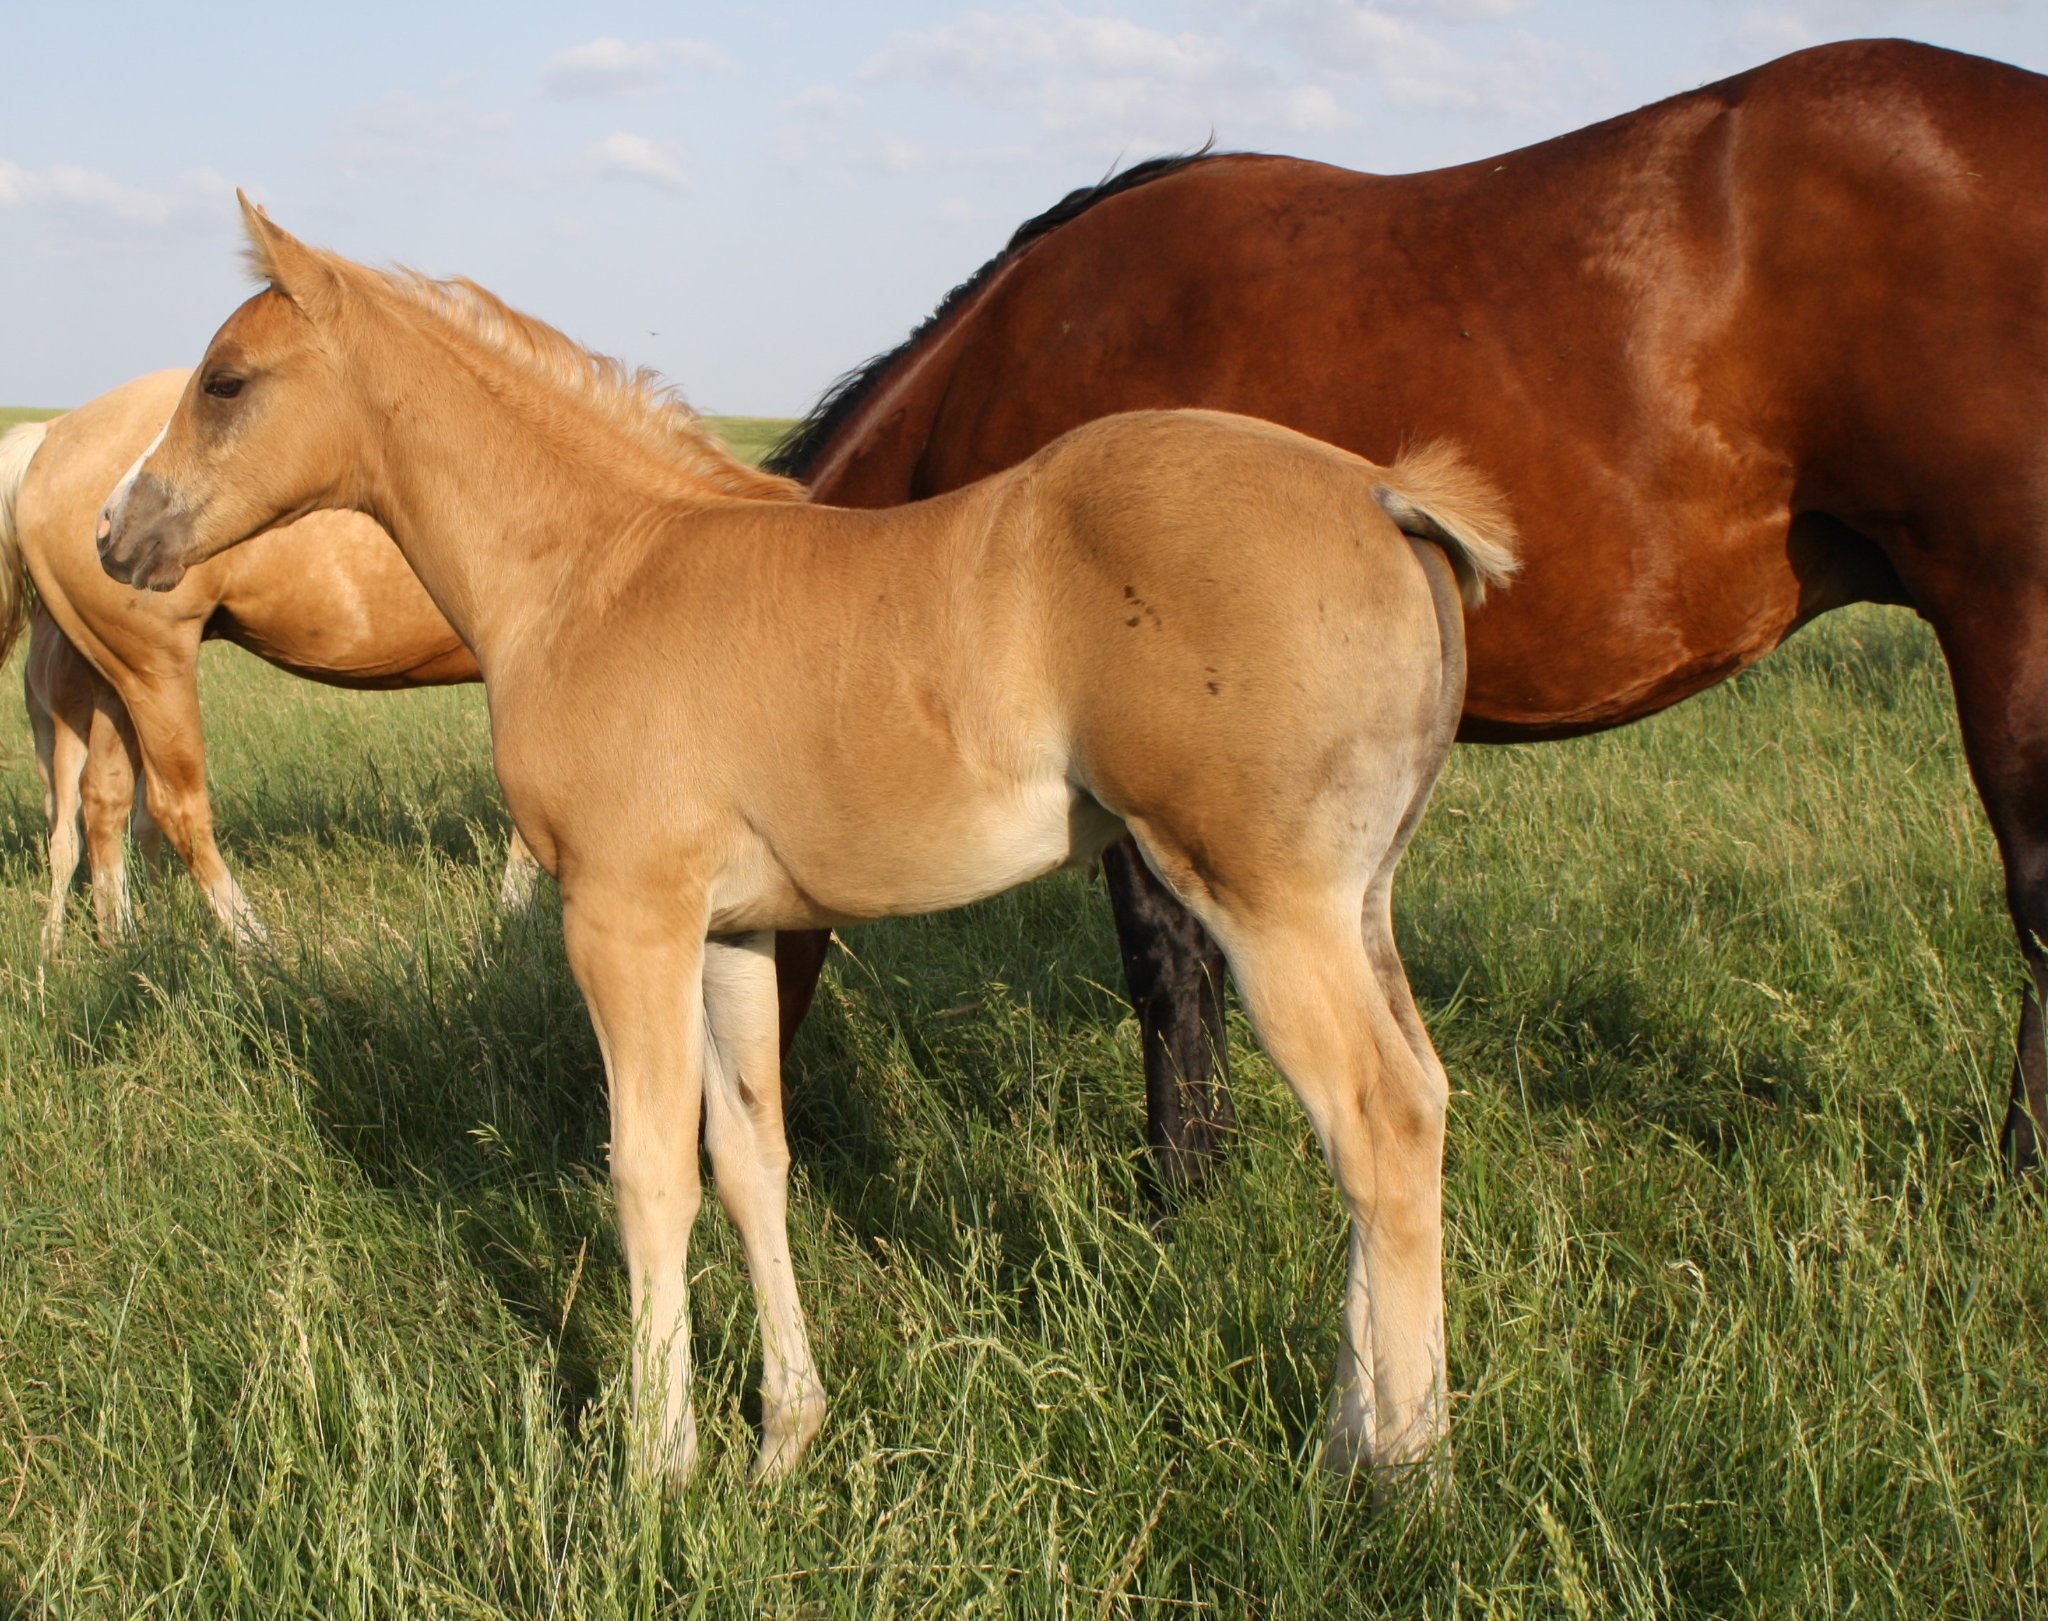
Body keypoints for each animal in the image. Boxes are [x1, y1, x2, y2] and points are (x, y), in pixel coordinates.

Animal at [0, 373, 538, 948]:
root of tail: (51, 435)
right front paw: (516, 915)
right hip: (153, 669)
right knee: (176, 808)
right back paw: (256, 946)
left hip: (113, 680)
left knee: (105, 802)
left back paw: (126, 941)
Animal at [98, 200, 1516, 1482]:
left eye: (226, 381)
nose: (119, 533)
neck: (595, 573)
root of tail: (1386, 494)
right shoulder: (738, 931)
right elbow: (750, 1164)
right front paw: (785, 1436)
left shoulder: (625, 919)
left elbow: (649, 1172)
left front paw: (656, 1465)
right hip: (1357, 903)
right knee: (1421, 1100)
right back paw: (1361, 1437)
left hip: (1268, 901)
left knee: (1377, 1126)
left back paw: (1396, 1470)